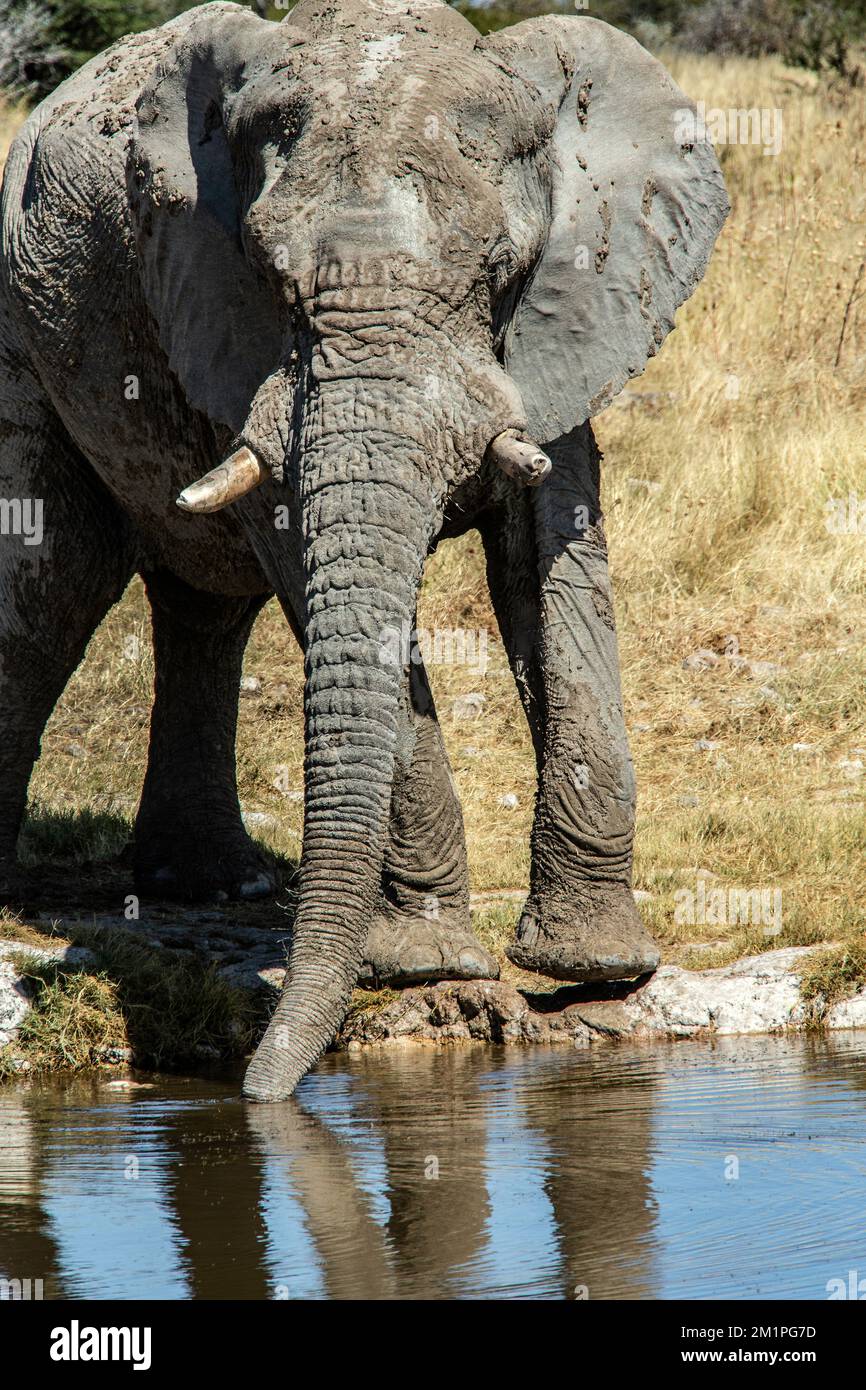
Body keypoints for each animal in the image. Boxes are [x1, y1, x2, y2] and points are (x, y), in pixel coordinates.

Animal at [0, 0, 728, 1100]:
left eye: (494, 274)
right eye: (270, 280)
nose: (257, 1097)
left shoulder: (568, 319)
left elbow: (550, 557)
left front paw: (593, 967)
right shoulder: (239, 345)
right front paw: (430, 965)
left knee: (201, 608)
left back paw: (210, 885)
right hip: (18, 327)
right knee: (51, 590)